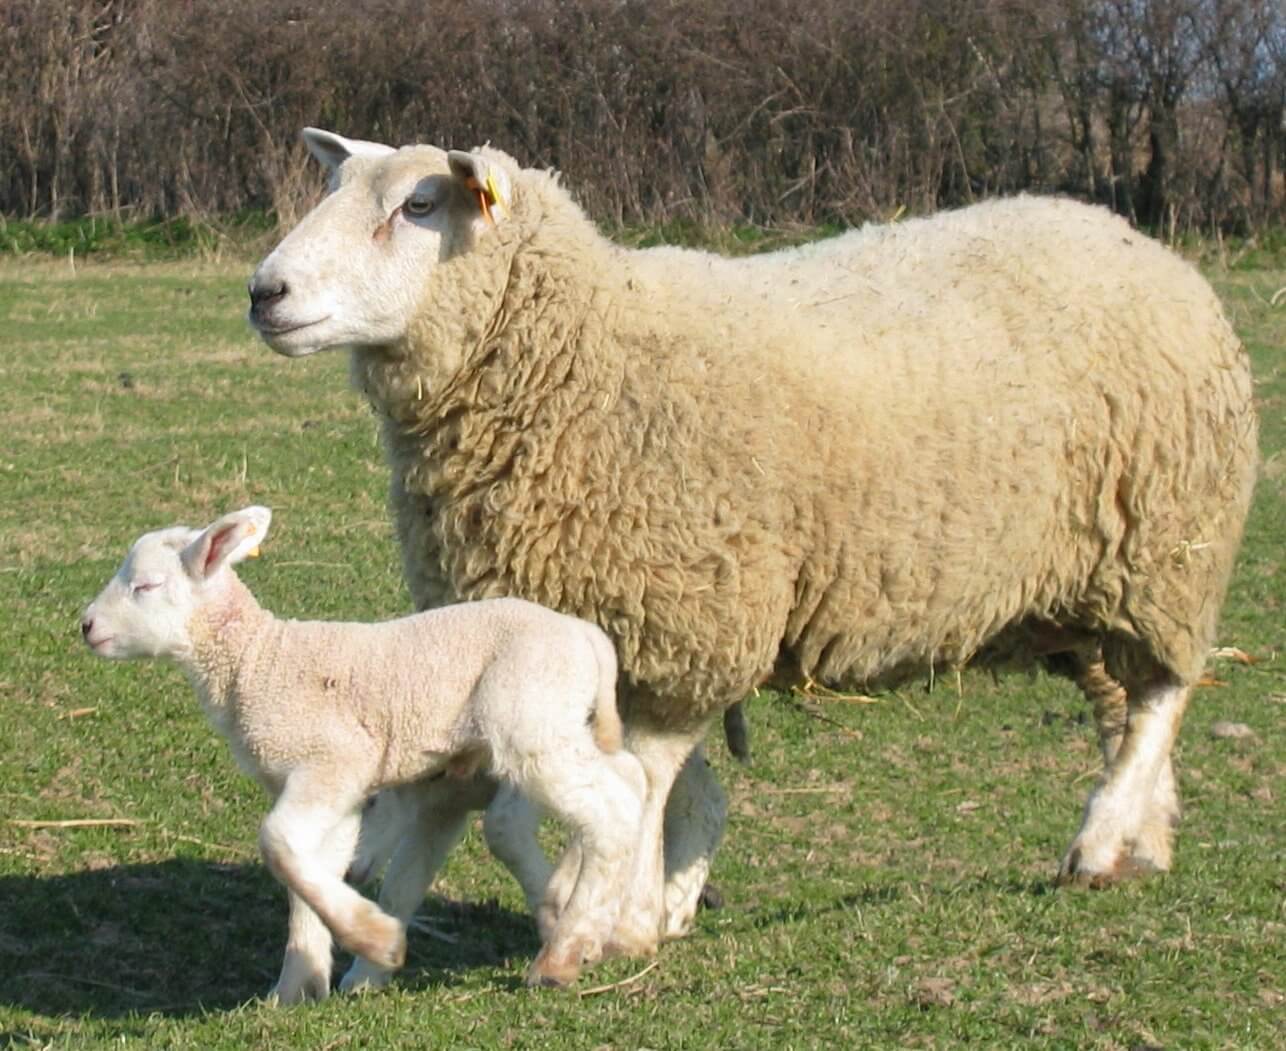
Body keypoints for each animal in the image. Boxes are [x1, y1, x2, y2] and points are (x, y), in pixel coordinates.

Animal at [80, 506, 643, 998]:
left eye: (146, 586)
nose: (86, 625)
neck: (257, 661)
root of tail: (587, 637)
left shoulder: (334, 760)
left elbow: (277, 842)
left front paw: (377, 939)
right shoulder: (330, 791)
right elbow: (309, 869)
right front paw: (297, 986)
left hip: (529, 721)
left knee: (611, 811)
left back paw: (563, 953)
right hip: (562, 723)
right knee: (629, 778)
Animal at [245, 127, 1260, 957]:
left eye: (418, 207)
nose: (264, 292)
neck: (581, 353)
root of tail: (1140, 242)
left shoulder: (688, 612)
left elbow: (647, 775)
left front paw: (611, 916)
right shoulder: (629, 632)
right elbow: (674, 784)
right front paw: (658, 899)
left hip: (1167, 545)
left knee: (1162, 693)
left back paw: (1100, 838)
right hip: (1076, 584)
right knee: (1120, 706)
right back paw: (1144, 839)